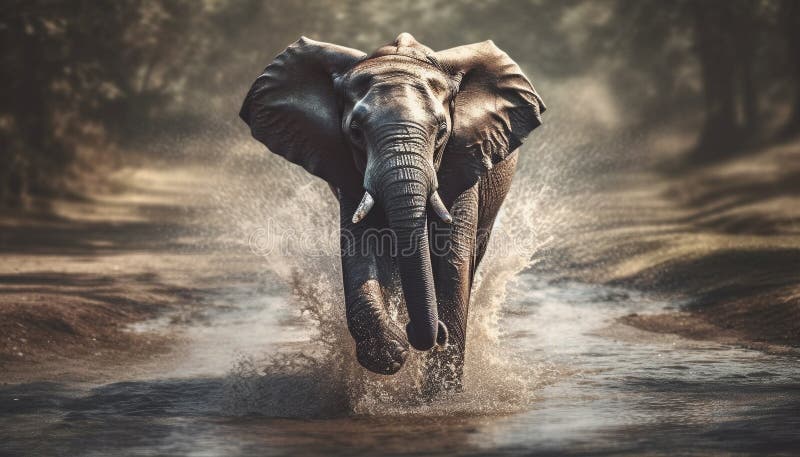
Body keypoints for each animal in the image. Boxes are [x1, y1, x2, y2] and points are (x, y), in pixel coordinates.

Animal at [239, 33, 545, 392]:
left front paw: (440, 396)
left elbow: (452, 260)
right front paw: (390, 352)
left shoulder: (465, 156)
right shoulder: (348, 170)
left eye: (442, 131)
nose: (429, 332)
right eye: (355, 132)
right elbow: (362, 248)